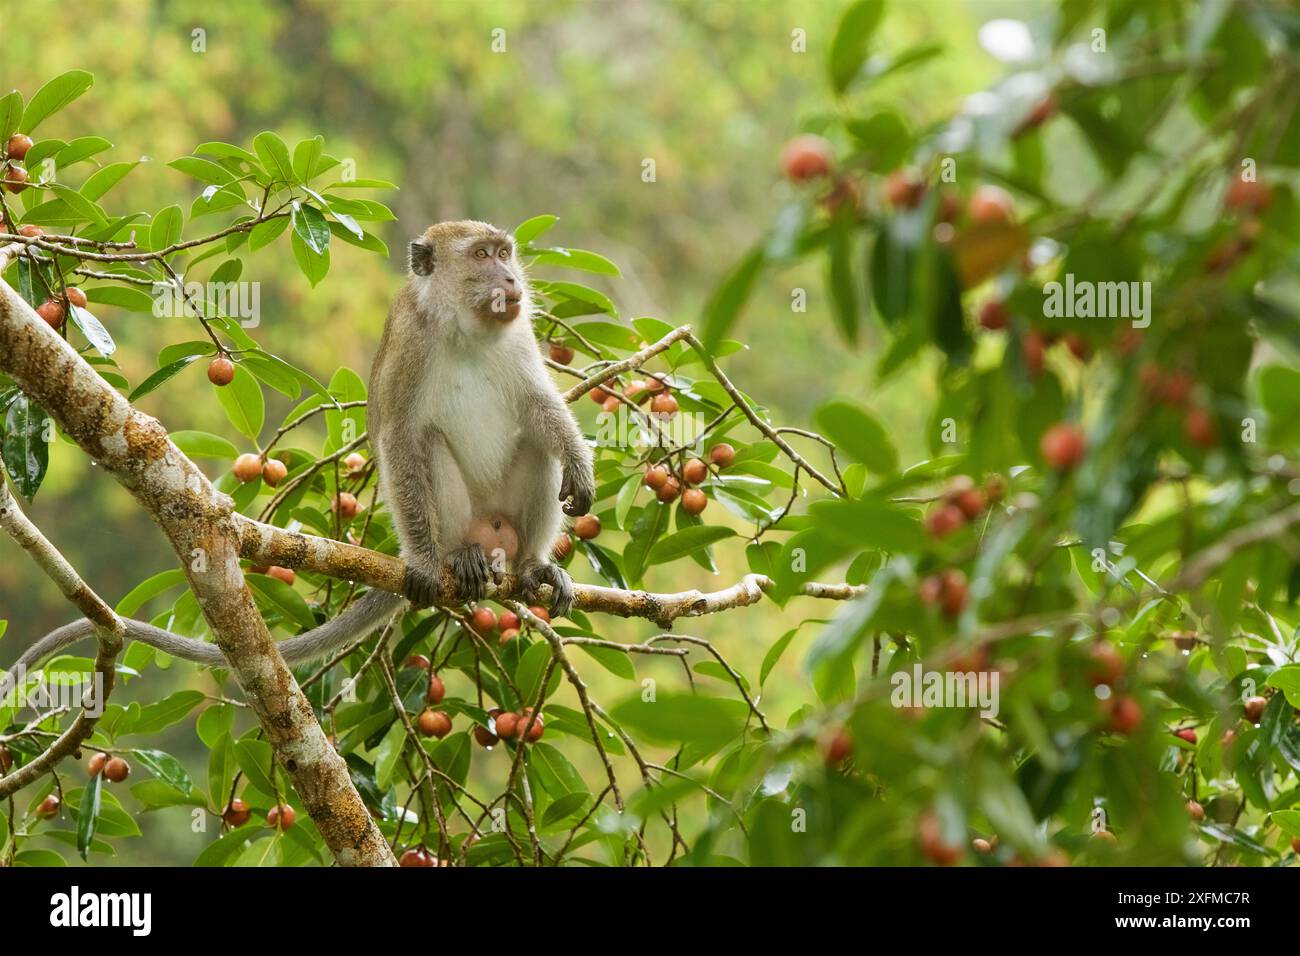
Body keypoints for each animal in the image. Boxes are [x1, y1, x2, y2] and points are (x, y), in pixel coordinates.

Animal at [1, 220, 594, 691]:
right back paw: (455, 557)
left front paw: (579, 469)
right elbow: (401, 438)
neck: (464, 328)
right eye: (482, 255)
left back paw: (533, 565)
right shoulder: (410, 341)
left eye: (506, 253)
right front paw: (427, 562)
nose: (511, 281)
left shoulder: (518, 334)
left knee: (535, 446)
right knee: (427, 444)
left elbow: (540, 407)